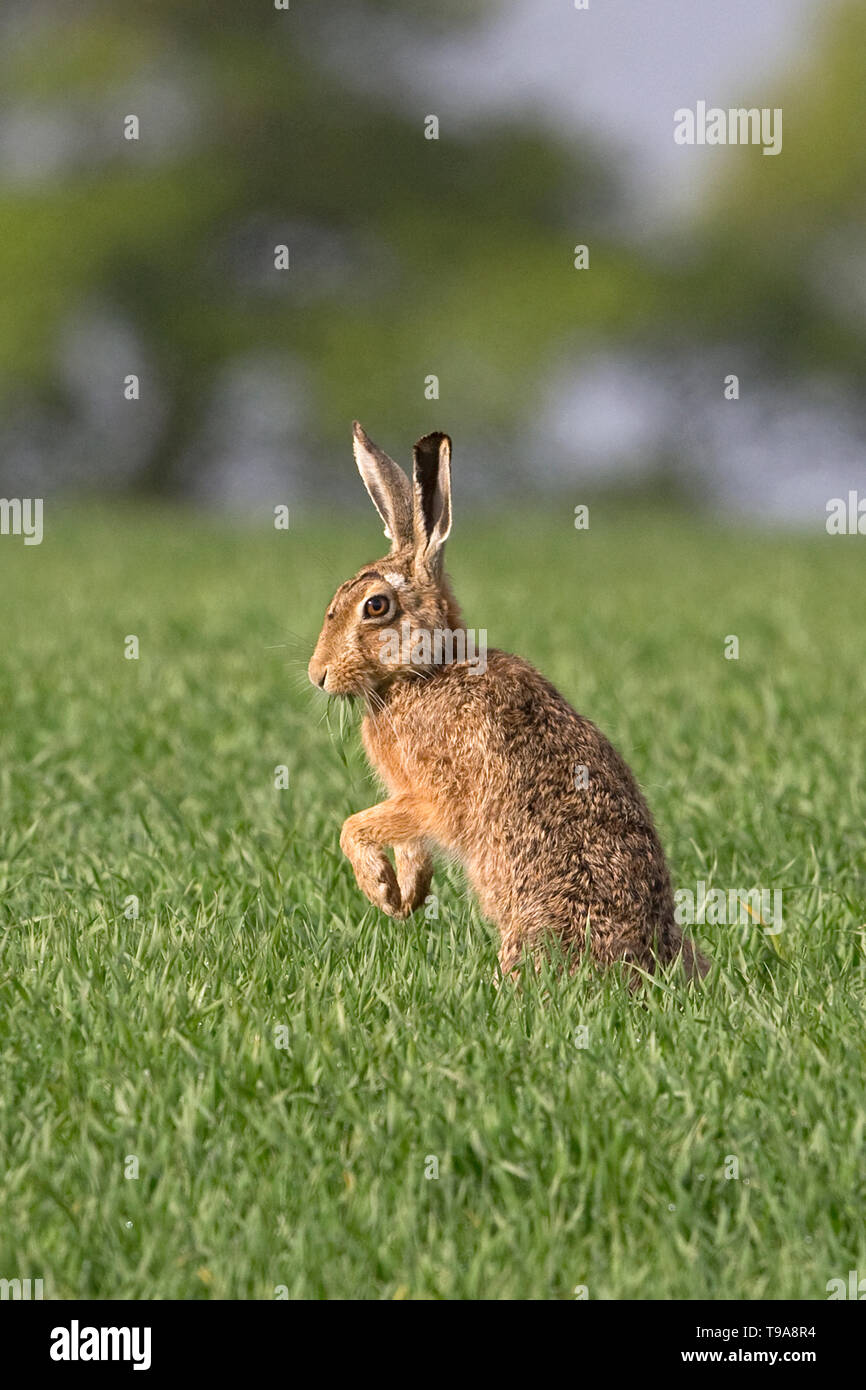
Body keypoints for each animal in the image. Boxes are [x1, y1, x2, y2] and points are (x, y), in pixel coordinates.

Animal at [308, 422, 709, 985]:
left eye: (377, 606)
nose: (317, 675)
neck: (427, 672)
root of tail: (642, 963)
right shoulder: (406, 797)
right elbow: (407, 841)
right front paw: (405, 894)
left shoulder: (434, 797)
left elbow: (358, 825)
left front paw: (380, 888)